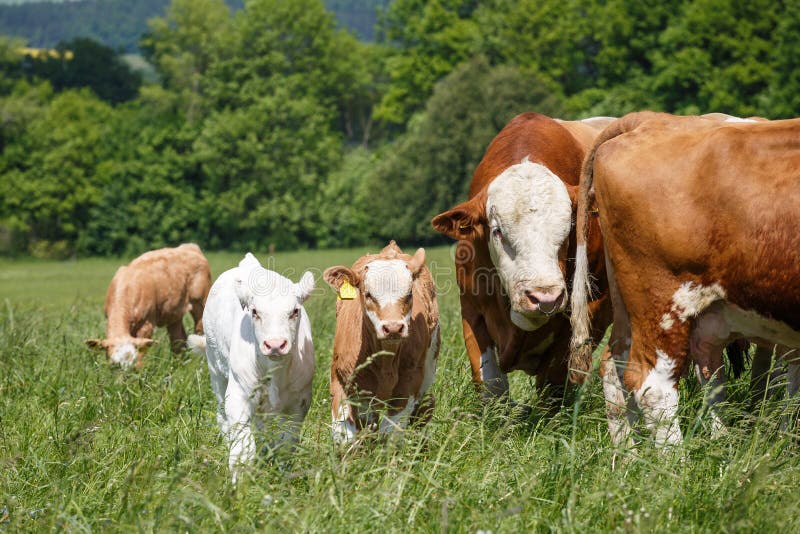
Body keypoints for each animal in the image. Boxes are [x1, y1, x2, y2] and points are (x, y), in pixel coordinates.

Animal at [189, 253, 315, 483]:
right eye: (255, 312)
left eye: (295, 311)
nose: (275, 344)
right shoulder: (238, 395)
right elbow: (243, 451)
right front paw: (240, 486)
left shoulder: (299, 403)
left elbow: (286, 445)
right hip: (216, 370)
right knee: (223, 416)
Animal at [323, 241, 439, 444]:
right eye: (368, 294)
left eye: (409, 294)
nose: (393, 328)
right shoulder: (343, 379)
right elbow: (346, 433)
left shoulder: (409, 384)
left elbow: (390, 433)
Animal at [430, 112, 616, 402]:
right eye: (497, 231)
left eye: (569, 228)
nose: (544, 297)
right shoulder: (471, 310)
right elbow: (491, 385)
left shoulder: (585, 316)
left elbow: (553, 385)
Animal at [570, 111, 800, 448]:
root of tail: (649, 120)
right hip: (664, 300)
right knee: (652, 386)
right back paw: (675, 459)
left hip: (629, 302)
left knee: (614, 369)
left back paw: (627, 455)